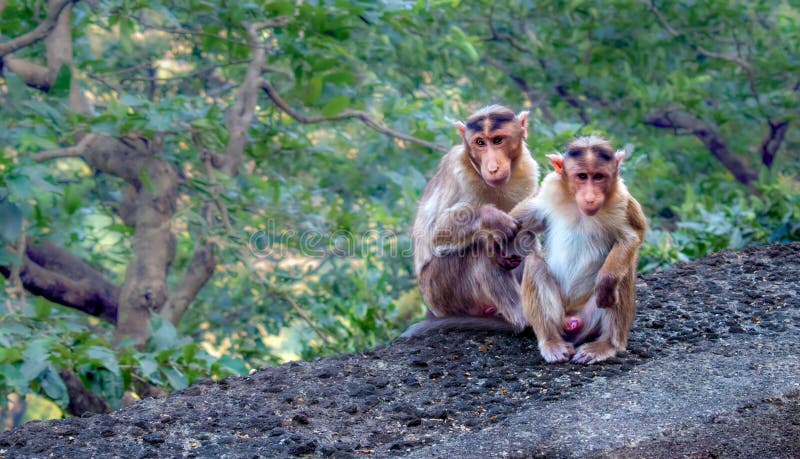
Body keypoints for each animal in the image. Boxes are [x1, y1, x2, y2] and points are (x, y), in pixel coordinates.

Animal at [400, 105, 540, 338]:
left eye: (497, 140)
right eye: (480, 142)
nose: (492, 167)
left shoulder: (528, 170)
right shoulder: (456, 168)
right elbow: (437, 233)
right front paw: (493, 219)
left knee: (524, 236)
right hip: (442, 291)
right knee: (480, 248)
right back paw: (521, 318)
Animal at [510, 135, 646, 363]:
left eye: (599, 177)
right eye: (582, 176)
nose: (590, 197)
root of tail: (572, 319)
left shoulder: (621, 198)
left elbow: (632, 236)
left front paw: (607, 281)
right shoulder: (549, 190)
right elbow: (515, 222)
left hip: (590, 319)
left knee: (624, 272)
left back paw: (607, 344)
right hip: (560, 316)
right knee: (535, 263)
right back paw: (551, 341)